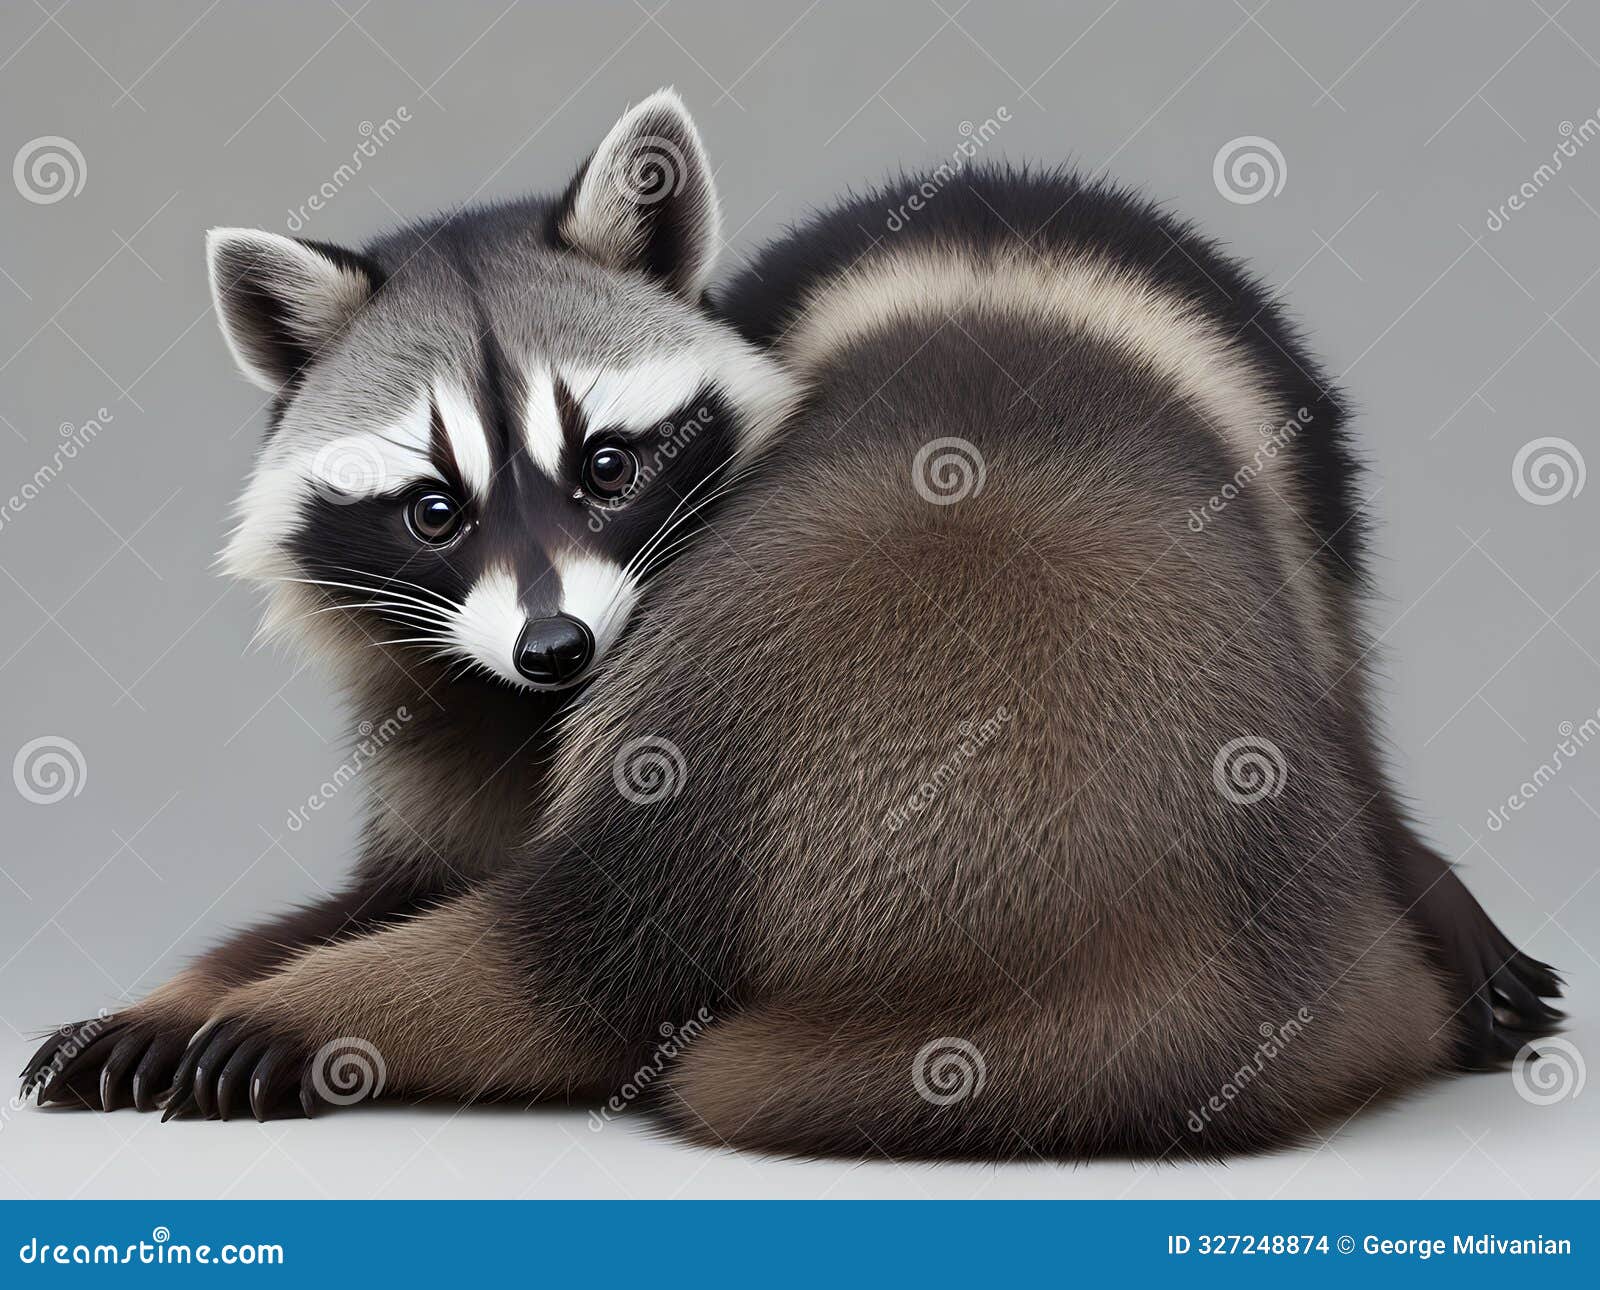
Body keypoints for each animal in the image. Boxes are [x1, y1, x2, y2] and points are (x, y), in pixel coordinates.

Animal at [22, 91, 799, 1117]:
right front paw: (186, 992)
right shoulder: (427, 761)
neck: (535, 705)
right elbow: (373, 901)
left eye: (608, 467)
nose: (555, 646)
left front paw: (307, 1007)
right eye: (435, 511)